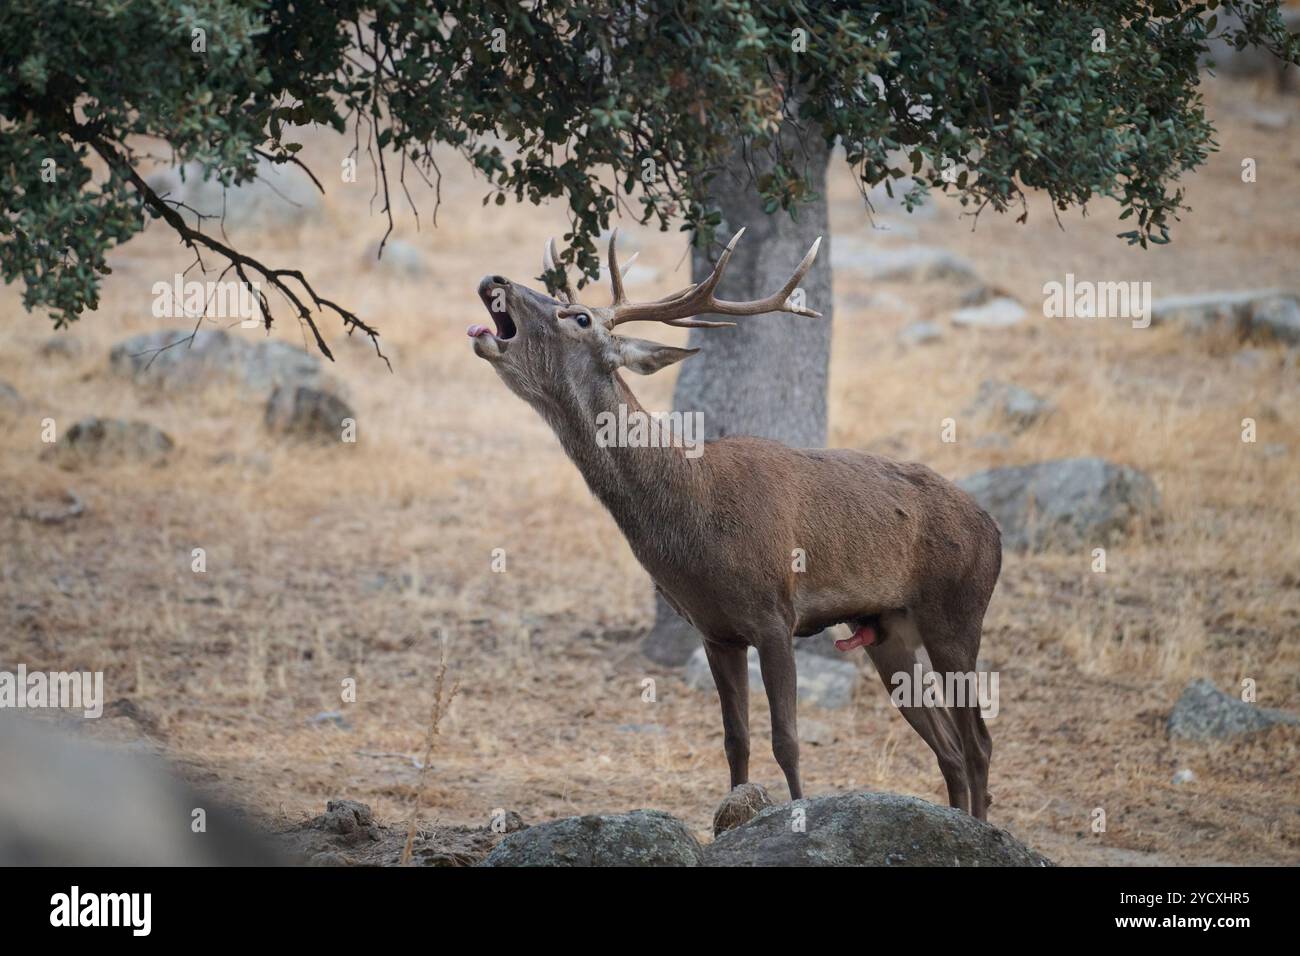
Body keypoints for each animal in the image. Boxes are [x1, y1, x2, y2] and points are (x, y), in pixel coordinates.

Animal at [468, 229, 1002, 819]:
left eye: (579, 317)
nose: (494, 278)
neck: (694, 517)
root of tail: (993, 530)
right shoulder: (715, 631)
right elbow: (735, 741)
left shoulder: (775, 614)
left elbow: (786, 740)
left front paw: (796, 816)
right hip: (888, 630)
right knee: (947, 746)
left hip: (957, 611)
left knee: (978, 742)